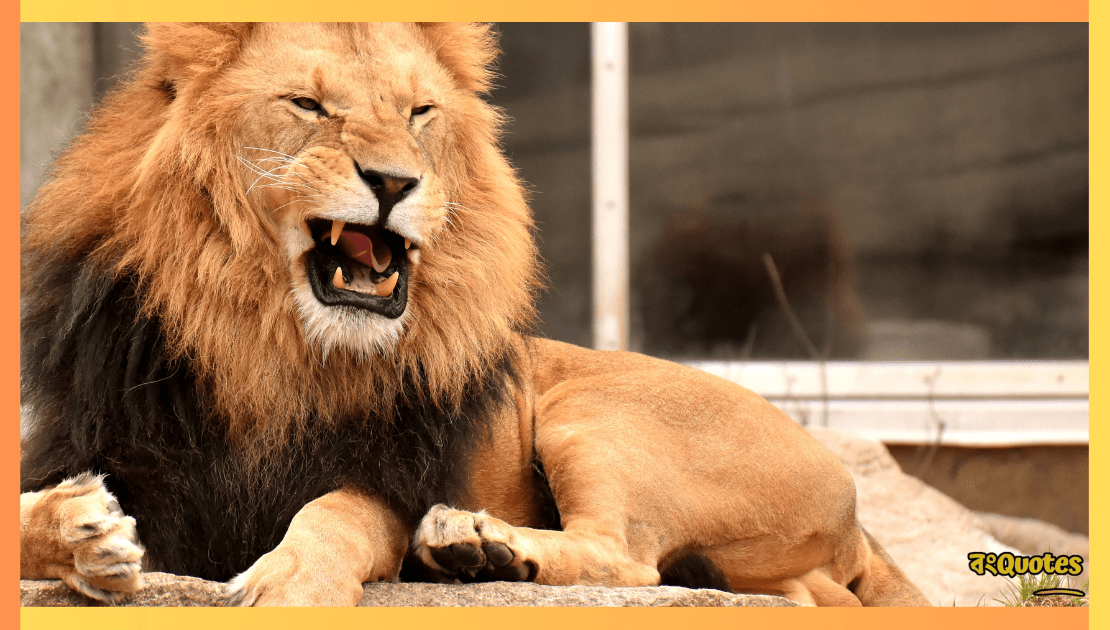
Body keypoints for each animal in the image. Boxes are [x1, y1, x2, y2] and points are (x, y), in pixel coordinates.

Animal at [19, 22, 930, 607]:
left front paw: (292, 584)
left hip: (595, 412)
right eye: (308, 107)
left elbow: (334, 515)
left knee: (627, 560)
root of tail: (857, 513)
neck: (262, 346)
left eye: (420, 113)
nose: (394, 181)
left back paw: (476, 545)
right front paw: (78, 533)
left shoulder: (389, 475)